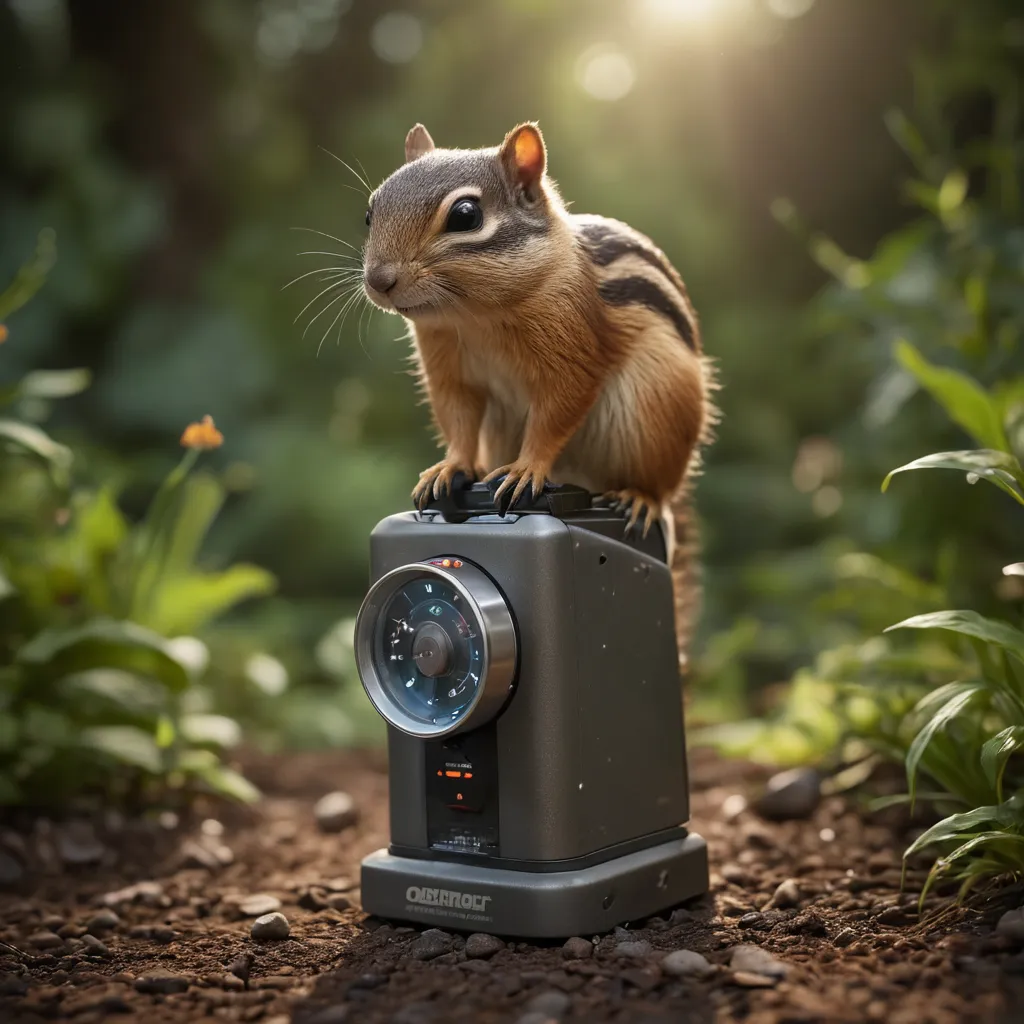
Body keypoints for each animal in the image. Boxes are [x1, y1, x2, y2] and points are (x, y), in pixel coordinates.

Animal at [360, 122, 716, 669]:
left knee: (659, 485)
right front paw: (450, 467)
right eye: (370, 211)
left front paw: (528, 469)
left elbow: (556, 411)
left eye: (465, 216)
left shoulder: (572, 353)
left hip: (655, 409)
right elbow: (457, 416)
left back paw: (640, 498)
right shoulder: (446, 367)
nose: (378, 280)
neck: (474, 315)